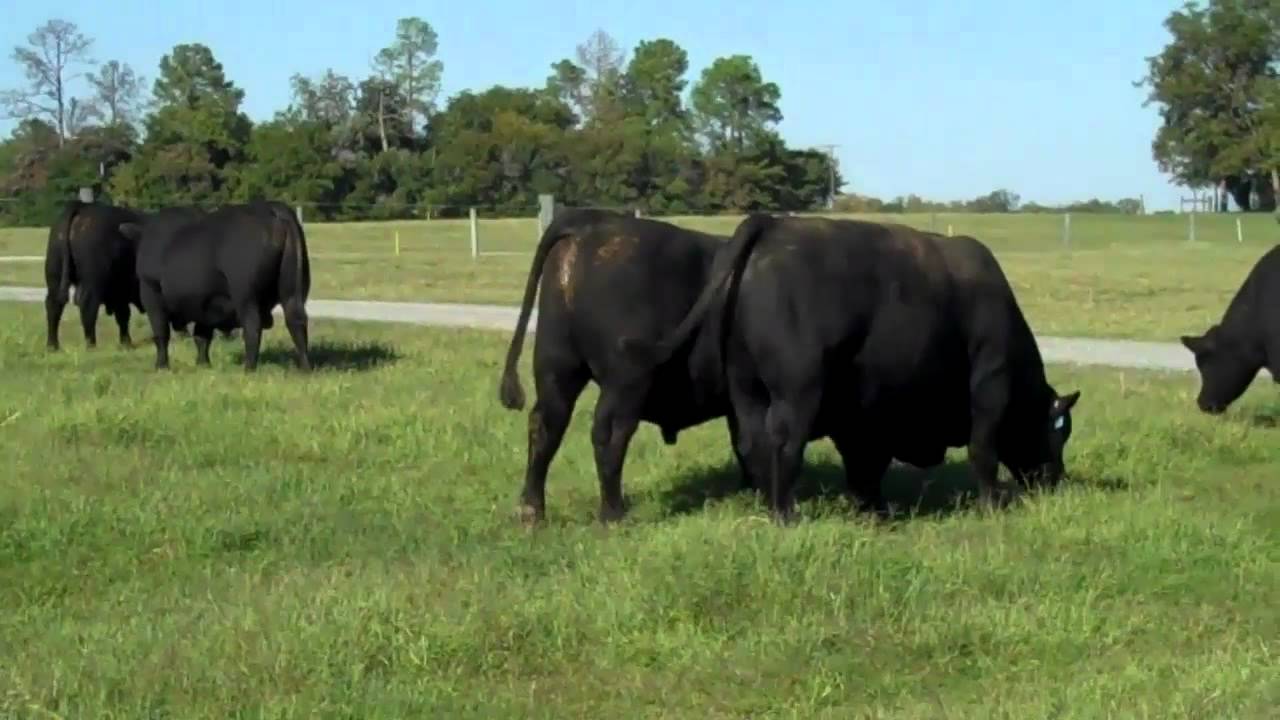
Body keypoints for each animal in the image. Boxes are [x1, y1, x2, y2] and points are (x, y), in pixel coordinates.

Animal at [44, 200, 145, 351]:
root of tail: (83, 206)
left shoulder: (120, 292)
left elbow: (123, 315)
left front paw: (126, 343)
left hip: (55, 276)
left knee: (54, 304)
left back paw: (53, 346)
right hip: (92, 283)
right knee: (88, 306)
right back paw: (91, 345)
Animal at [116, 201, 312, 372]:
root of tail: (272, 208)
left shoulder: (151, 292)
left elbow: (161, 332)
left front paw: (161, 366)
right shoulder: (206, 302)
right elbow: (202, 336)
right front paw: (203, 364)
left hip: (245, 294)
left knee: (252, 326)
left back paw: (249, 368)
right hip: (293, 290)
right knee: (296, 319)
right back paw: (304, 367)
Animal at [498, 208, 743, 525]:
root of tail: (592, 221)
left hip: (557, 364)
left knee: (546, 424)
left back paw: (532, 512)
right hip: (626, 380)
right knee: (610, 433)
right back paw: (613, 515)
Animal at [625, 214, 1081, 523]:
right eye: (1059, 431)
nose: (1055, 479)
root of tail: (773, 224)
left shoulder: (863, 413)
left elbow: (865, 465)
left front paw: (874, 510)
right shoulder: (990, 385)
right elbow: (983, 451)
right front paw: (992, 502)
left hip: (747, 388)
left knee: (753, 444)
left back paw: (770, 505)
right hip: (798, 391)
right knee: (784, 445)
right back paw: (786, 514)